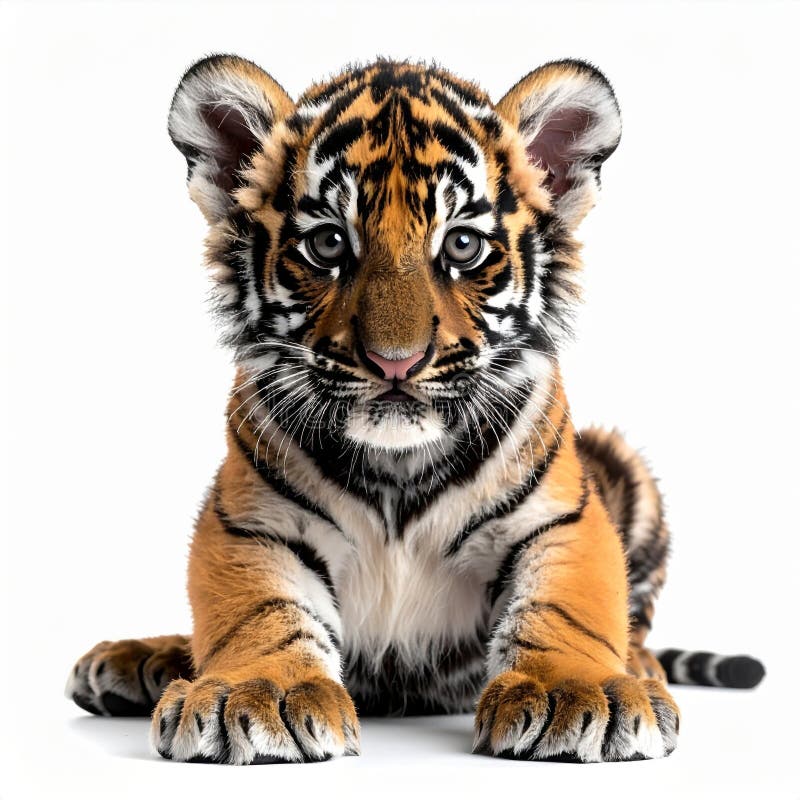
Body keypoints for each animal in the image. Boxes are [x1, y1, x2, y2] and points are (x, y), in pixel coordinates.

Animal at [66, 55, 765, 764]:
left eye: (461, 246)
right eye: (328, 244)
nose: (395, 362)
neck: (397, 469)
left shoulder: (562, 516)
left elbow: (567, 604)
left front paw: (578, 690)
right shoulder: (249, 521)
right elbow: (258, 611)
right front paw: (260, 691)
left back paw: (639, 666)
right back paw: (139, 660)